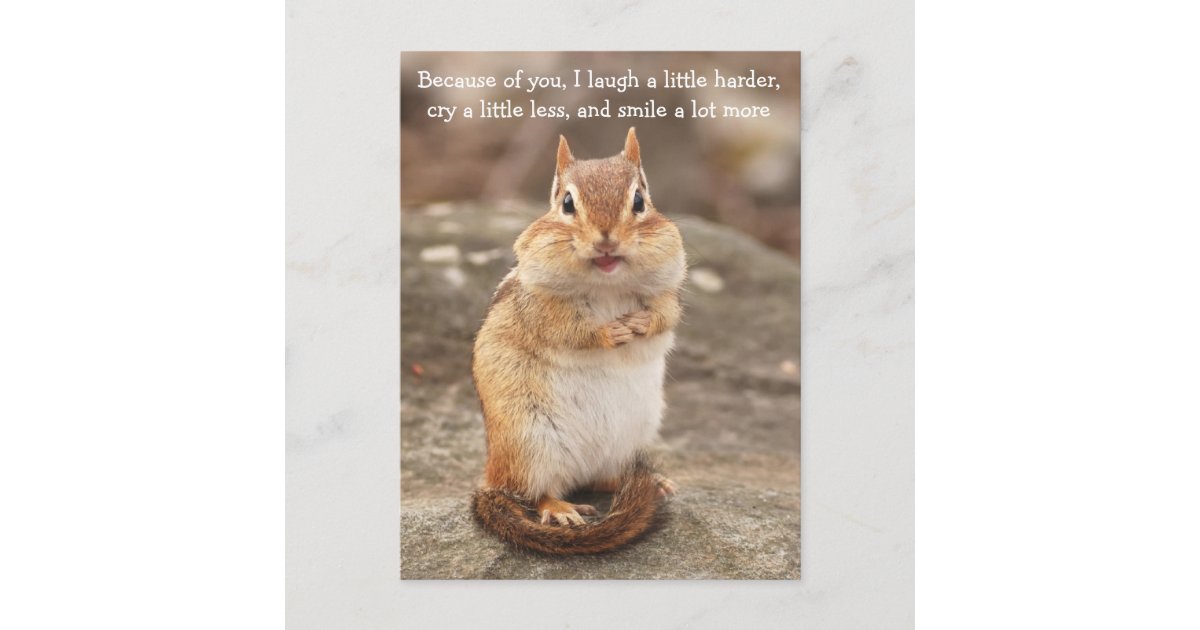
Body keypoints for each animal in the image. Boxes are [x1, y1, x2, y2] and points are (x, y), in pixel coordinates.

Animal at [470, 127, 686, 555]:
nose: (606, 241)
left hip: (628, 440)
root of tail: (491, 479)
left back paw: (651, 481)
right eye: (567, 203)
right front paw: (609, 332)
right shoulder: (540, 306)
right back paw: (560, 509)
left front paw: (640, 323)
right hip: (531, 444)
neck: (608, 283)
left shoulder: (667, 289)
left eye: (639, 201)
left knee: (604, 479)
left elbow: (666, 314)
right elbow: (566, 329)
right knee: (538, 493)